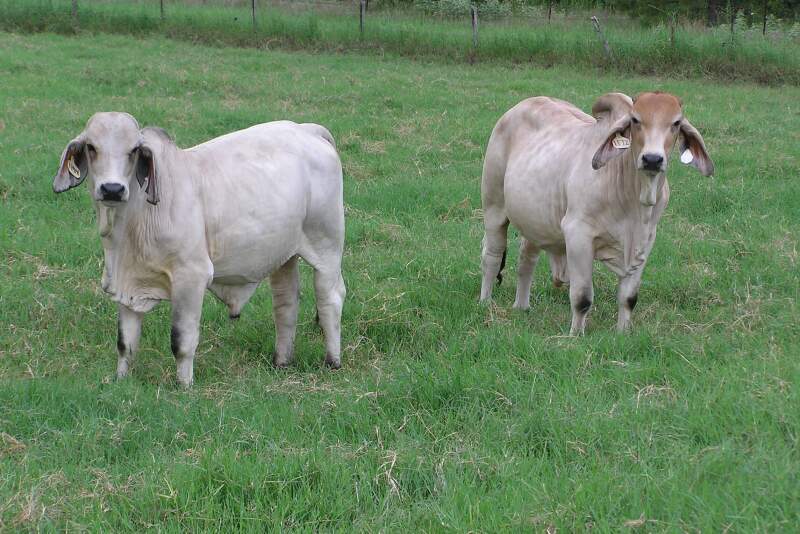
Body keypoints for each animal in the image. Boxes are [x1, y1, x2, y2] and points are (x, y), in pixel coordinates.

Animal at [53, 112, 346, 386]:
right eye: (91, 147)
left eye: (134, 149)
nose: (112, 189)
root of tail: (307, 129)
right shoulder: (128, 286)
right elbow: (126, 343)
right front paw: (121, 380)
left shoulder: (190, 277)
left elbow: (181, 340)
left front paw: (185, 385)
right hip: (284, 254)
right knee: (286, 302)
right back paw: (281, 361)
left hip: (327, 244)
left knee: (330, 298)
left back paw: (332, 361)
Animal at [479, 92, 713, 334]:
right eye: (635, 120)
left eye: (676, 123)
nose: (652, 159)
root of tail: (521, 105)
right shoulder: (578, 236)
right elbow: (582, 298)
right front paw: (575, 335)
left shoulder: (645, 242)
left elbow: (628, 298)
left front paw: (623, 333)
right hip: (494, 206)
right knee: (492, 256)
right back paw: (485, 302)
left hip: (535, 220)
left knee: (527, 258)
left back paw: (522, 306)